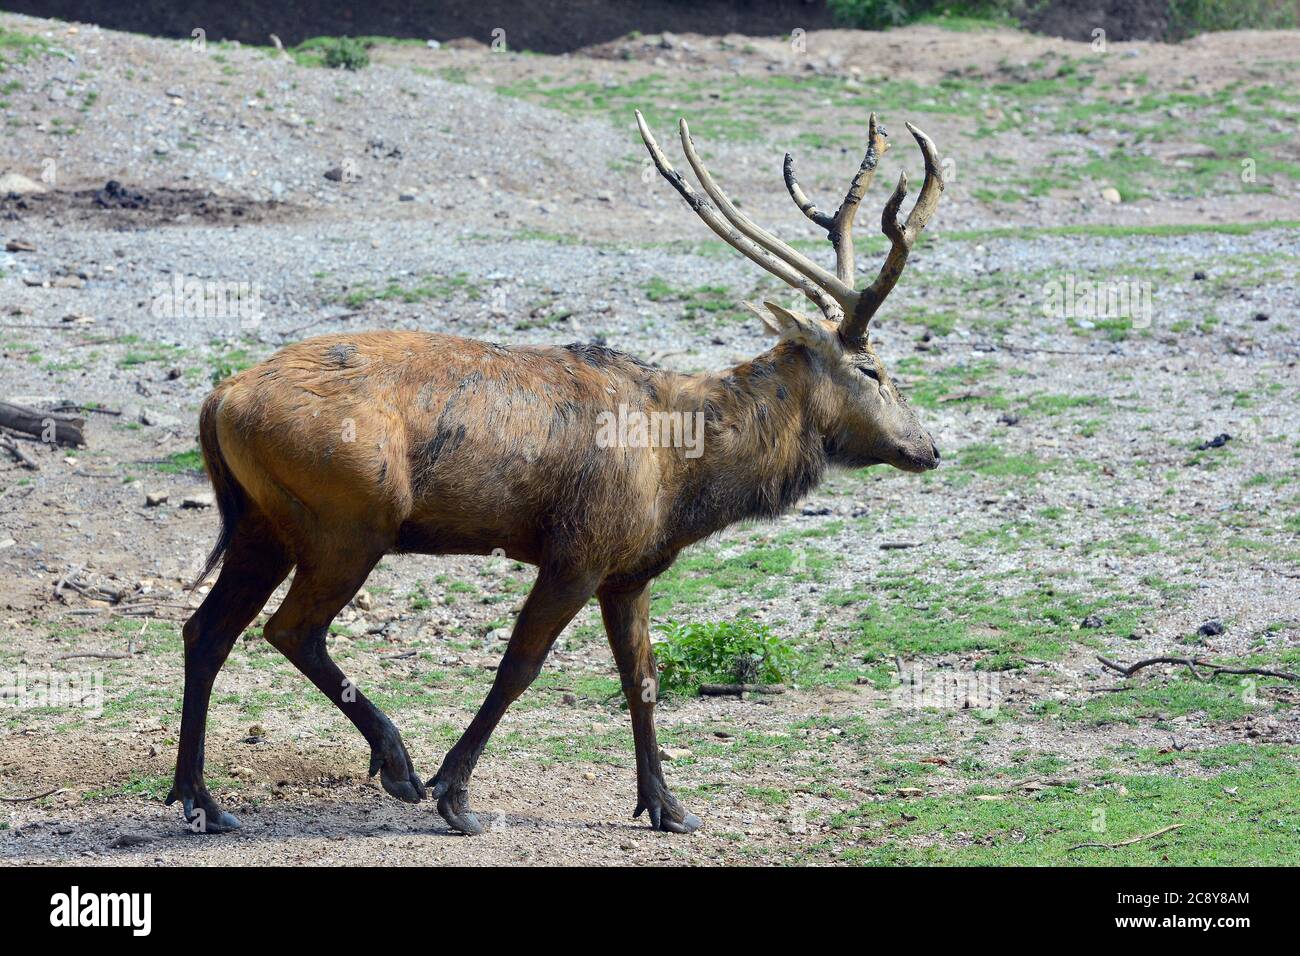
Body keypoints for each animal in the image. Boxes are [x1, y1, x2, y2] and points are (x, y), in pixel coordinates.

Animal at [168, 109, 943, 837]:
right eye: (872, 369)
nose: (928, 448)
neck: (682, 478)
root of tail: (218, 399)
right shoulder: (579, 550)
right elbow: (520, 667)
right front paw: (455, 795)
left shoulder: (630, 569)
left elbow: (643, 677)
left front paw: (668, 806)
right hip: (350, 523)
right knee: (289, 629)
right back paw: (397, 766)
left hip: (264, 524)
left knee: (206, 629)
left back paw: (200, 799)